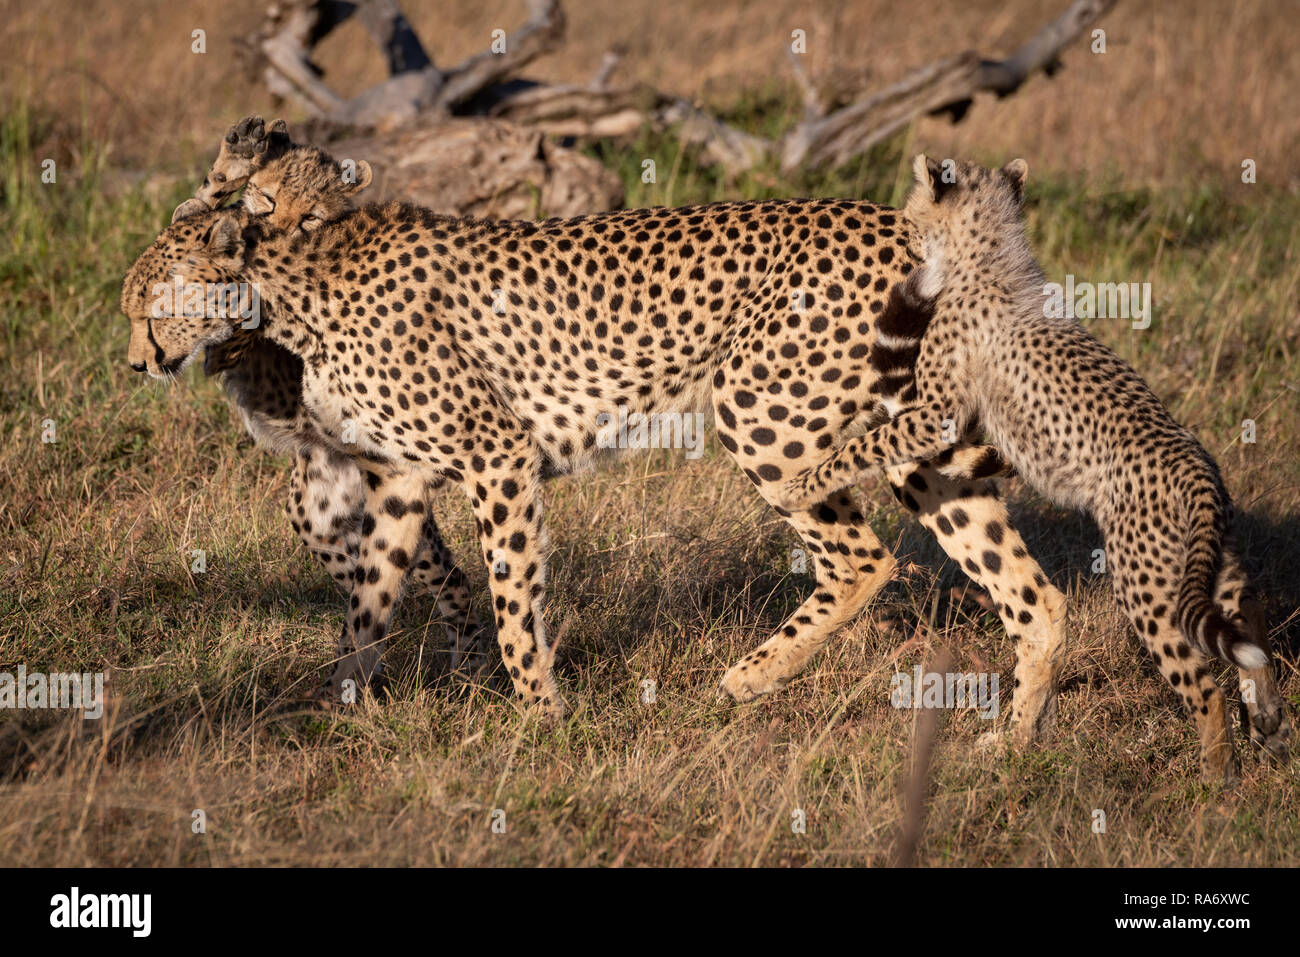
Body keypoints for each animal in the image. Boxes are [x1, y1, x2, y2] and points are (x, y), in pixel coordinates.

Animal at [122, 132, 1074, 736]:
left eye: (146, 305)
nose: (136, 361)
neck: (288, 287)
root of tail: (905, 223)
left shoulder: (496, 455)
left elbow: (510, 599)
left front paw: (542, 718)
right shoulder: (395, 478)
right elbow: (370, 598)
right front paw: (341, 704)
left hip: (764, 413)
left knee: (862, 559)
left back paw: (749, 678)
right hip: (908, 435)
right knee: (1031, 590)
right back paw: (1009, 743)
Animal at [773, 155, 1292, 782]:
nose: (902, 232)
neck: (988, 250)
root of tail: (1197, 467)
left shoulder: (936, 413)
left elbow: (869, 443)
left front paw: (802, 482)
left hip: (1148, 582)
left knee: (1202, 684)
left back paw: (1217, 775)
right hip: (1210, 564)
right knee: (1249, 620)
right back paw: (1267, 718)